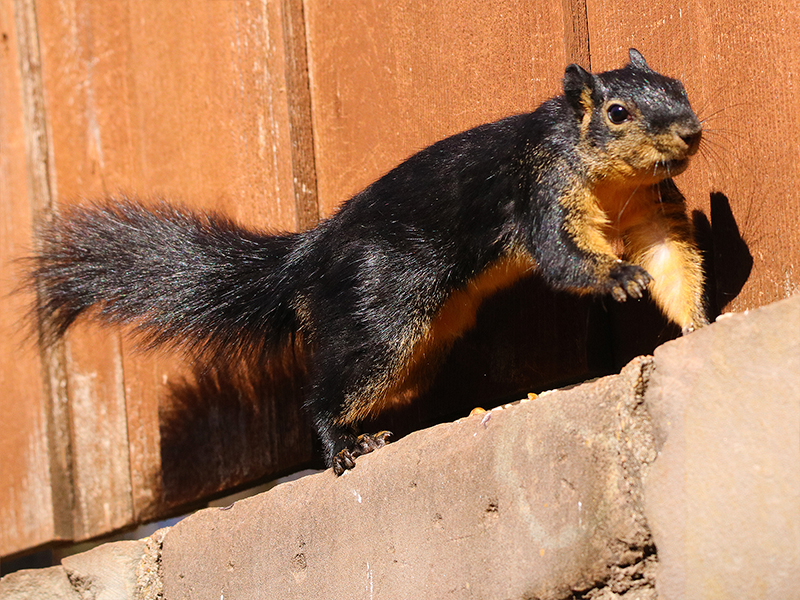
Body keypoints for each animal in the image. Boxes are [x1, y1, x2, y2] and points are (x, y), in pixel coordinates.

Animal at [30, 49, 707, 475]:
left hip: (419, 343)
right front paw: (618, 277)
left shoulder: (650, 210)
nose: (690, 131)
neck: (612, 182)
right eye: (617, 113)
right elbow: (563, 257)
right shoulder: (540, 191)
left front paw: (697, 325)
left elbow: (671, 259)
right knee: (329, 391)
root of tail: (307, 257)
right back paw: (340, 445)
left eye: (681, 88)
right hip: (381, 312)